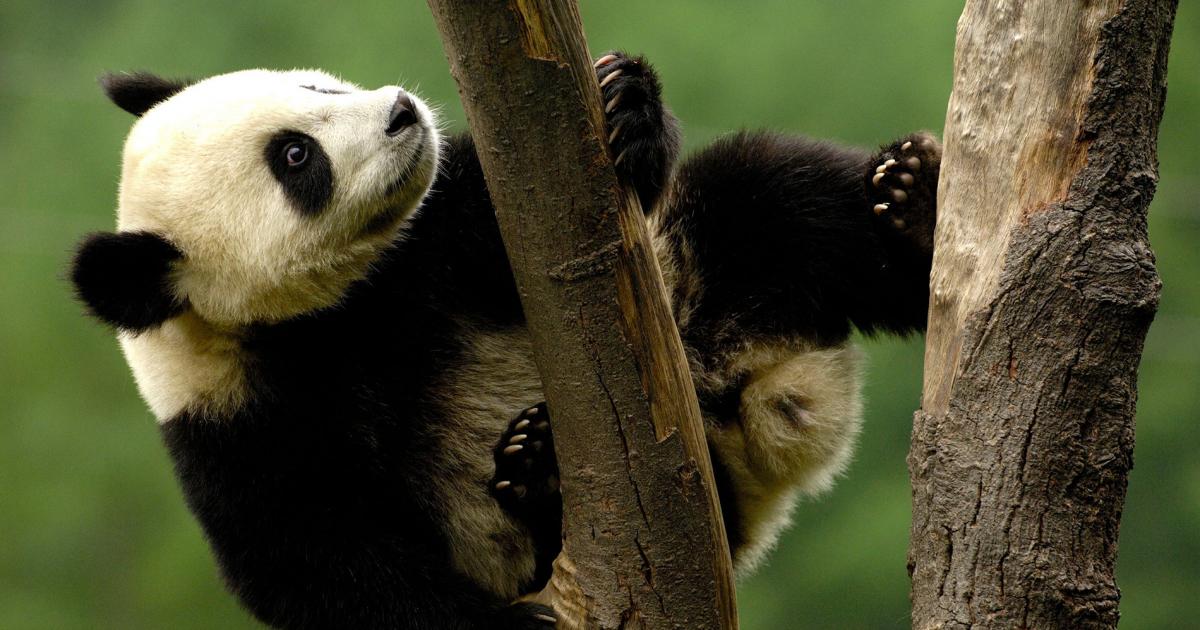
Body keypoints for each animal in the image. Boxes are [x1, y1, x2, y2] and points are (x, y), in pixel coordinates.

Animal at [70, 52, 939, 629]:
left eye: (316, 88)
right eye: (295, 156)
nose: (402, 112)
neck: (335, 310)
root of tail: (760, 406)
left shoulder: (435, 237)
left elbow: (528, 216)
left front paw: (625, 105)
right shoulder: (241, 426)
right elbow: (321, 565)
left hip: (689, 270)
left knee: (775, 199)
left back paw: (916, 211)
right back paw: (539, 470)